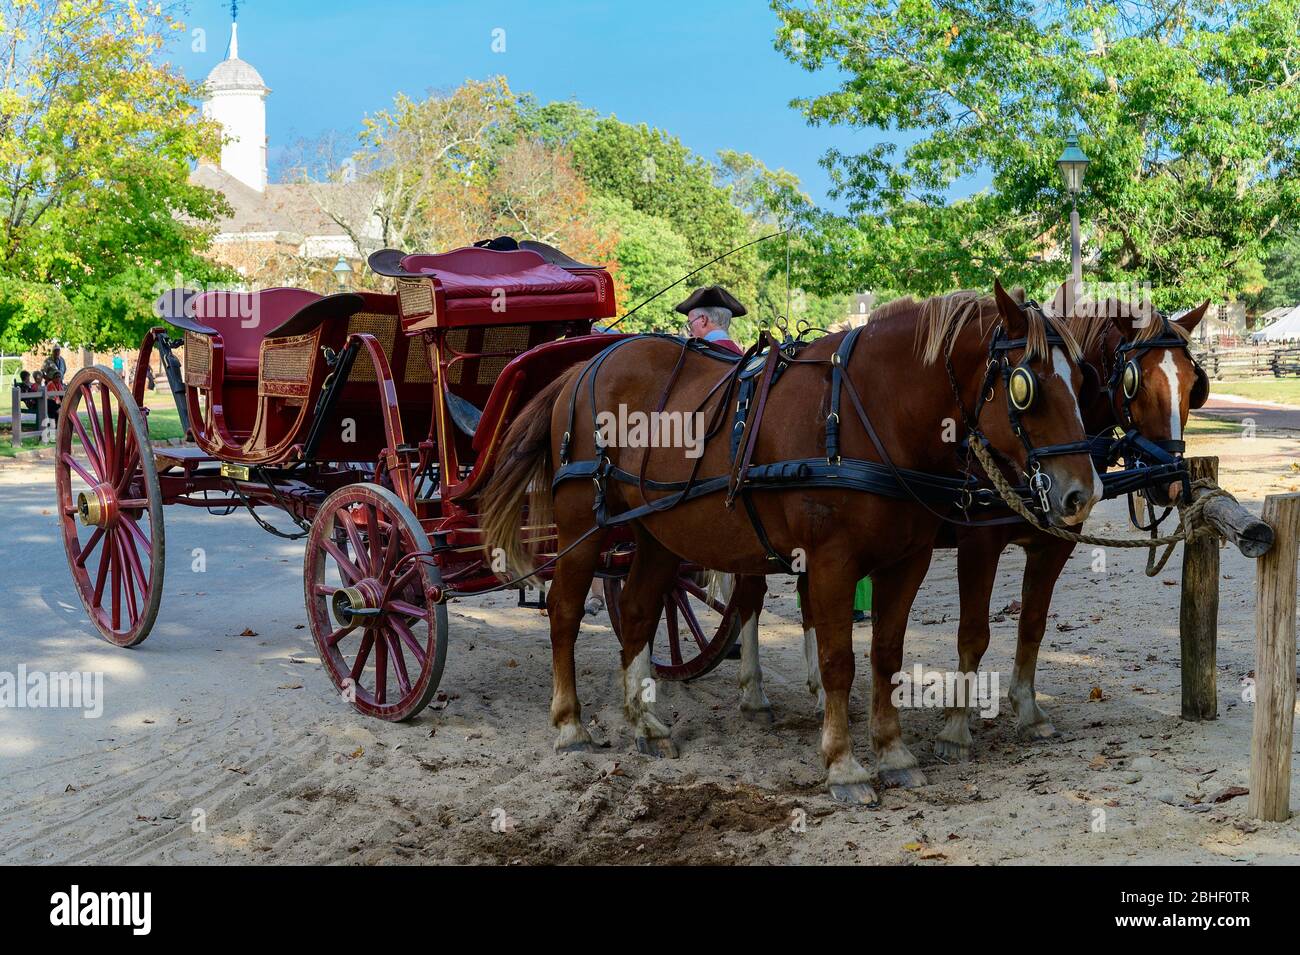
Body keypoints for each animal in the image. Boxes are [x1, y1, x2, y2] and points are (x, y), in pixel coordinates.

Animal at [480, 281, 1101, 805]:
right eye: (1025, 387)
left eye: (1083, 382)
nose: (1082, 493)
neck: (866, 412)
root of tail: (584, 366)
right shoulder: (832, 563)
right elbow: (838, 660)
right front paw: (844, 765)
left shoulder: (909, 561)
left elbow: (886, 655)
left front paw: (893, 753)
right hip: (581, 523)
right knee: (564, 612)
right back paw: (569, 724)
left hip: (657, 533)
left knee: (635, 613)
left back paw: (645, 723)